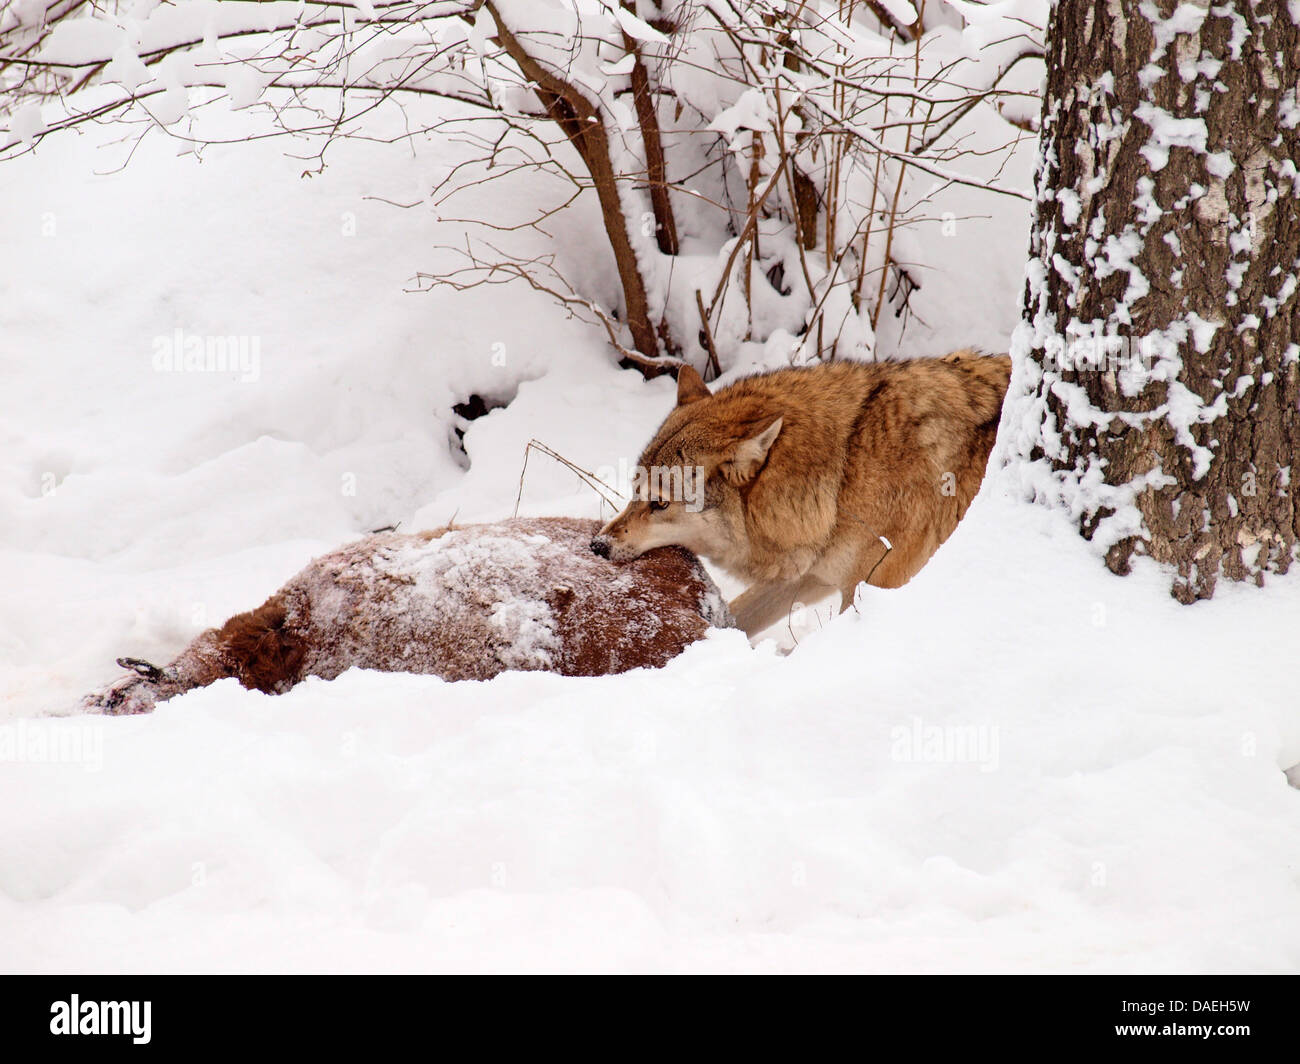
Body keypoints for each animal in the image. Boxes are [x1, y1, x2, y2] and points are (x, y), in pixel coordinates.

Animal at [591, 349, 1011, 636]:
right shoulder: (812, 574)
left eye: (659, 503)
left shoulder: (874, 588)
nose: (598, 545)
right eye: (634, 491)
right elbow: (740, 618)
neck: (846, 469)